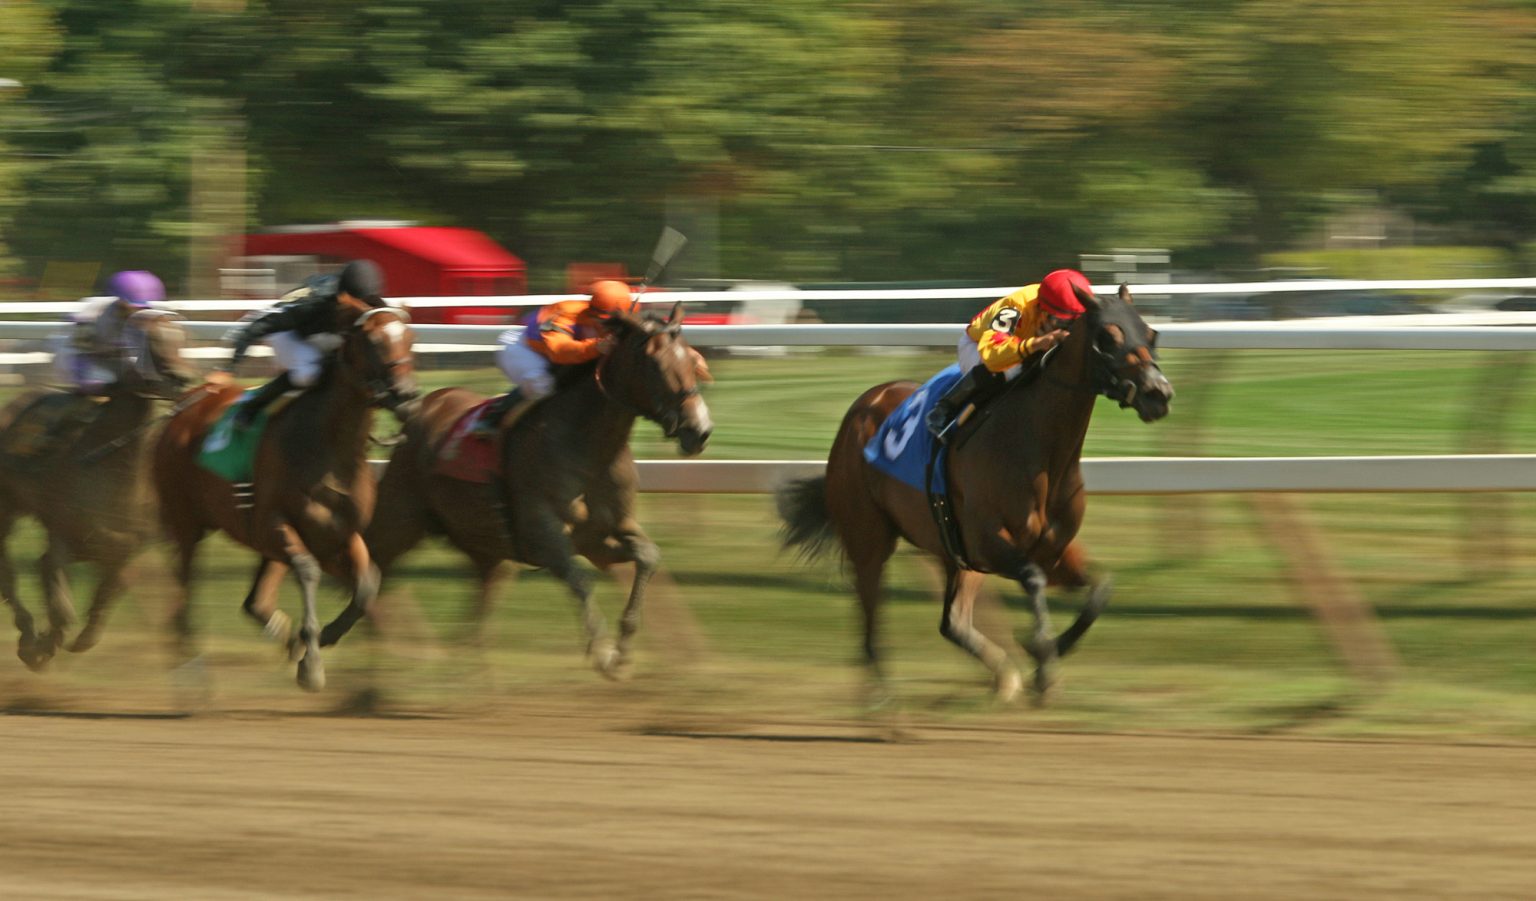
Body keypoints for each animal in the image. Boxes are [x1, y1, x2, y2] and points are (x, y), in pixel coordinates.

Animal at [0, 309, 196, 670]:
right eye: (147, 340)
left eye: (181, 337)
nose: (184, 379)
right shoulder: (62, 538)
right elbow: (57, 596)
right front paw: (40, 647)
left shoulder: (124, 548)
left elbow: (110, 592)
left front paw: (74, 639)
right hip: (5, 509)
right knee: (7, 573)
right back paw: (28, 636)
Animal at [151, 304, 417, 691]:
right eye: (371, 341)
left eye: (409, 336)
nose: (407, 395)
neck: (330, 446)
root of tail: (180, 409)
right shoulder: (275, 524)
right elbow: (307, 571)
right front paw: (311, 664)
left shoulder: (337, 536)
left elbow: (369, 583)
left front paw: (316, 641)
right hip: (186, 525)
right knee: (184, 595)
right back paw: (190, 671)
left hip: (262, 546)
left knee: (254, 602)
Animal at [341, 303, 712, 677]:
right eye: (655, 365)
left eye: (692, 358)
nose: (701, 430)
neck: (589, 446)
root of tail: (417, 410)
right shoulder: (543, 536)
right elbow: (580, 579)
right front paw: (604, 652)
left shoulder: (600, 536)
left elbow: (648, 556)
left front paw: (623, 650)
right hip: (401, 518)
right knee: (372, 563)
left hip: (481, 541)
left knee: (481, 589)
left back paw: (463, 656)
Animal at [777, 283, 1173, 702]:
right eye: (1107, 338)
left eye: (1150, 334)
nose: (1158, 394)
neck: (1039, 447)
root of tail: (864, 405)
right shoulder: (988, 541)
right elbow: (1033, 580)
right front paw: (1042, 655)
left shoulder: (1051, 547)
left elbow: (1100, 591)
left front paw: (1047, 654)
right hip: (869, 537)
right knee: (870, 611)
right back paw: (881, 700)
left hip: (951, 550)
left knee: (951, 621)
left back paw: (1003, 675)